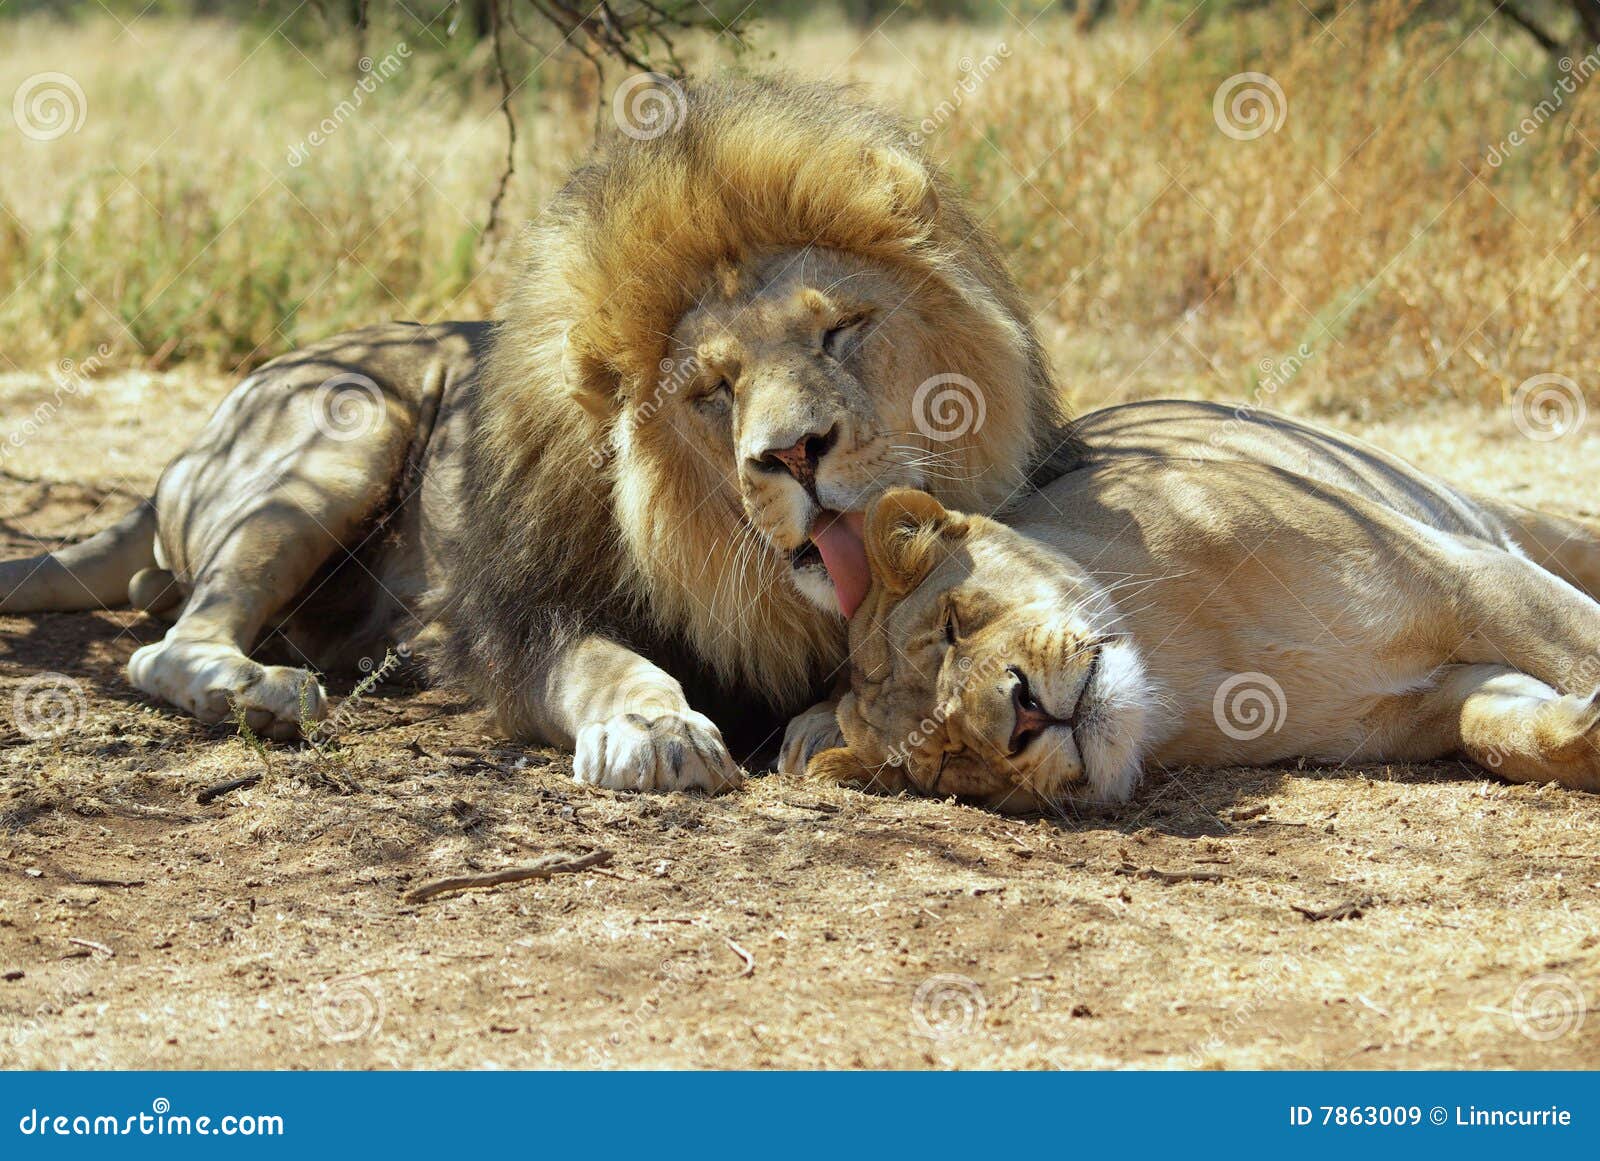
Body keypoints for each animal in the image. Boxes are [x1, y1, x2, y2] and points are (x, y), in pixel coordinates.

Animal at [0, 77, 1077, 792]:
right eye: (712, 387)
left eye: (839, 329)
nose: (793, 452)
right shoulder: (521, 614)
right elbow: (600, 662)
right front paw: (655, 730)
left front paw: (825, 722)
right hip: (344, 426)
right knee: (162, 647)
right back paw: (255, 692)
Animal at [807, 400, 1600, 813]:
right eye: (943, 761)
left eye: (954, 624)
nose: (1024, 714)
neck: (1190, 666)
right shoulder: (1432, 698)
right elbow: (1499, 729)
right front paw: (1578, 732)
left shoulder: (1465, 578)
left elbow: (1579, 643)